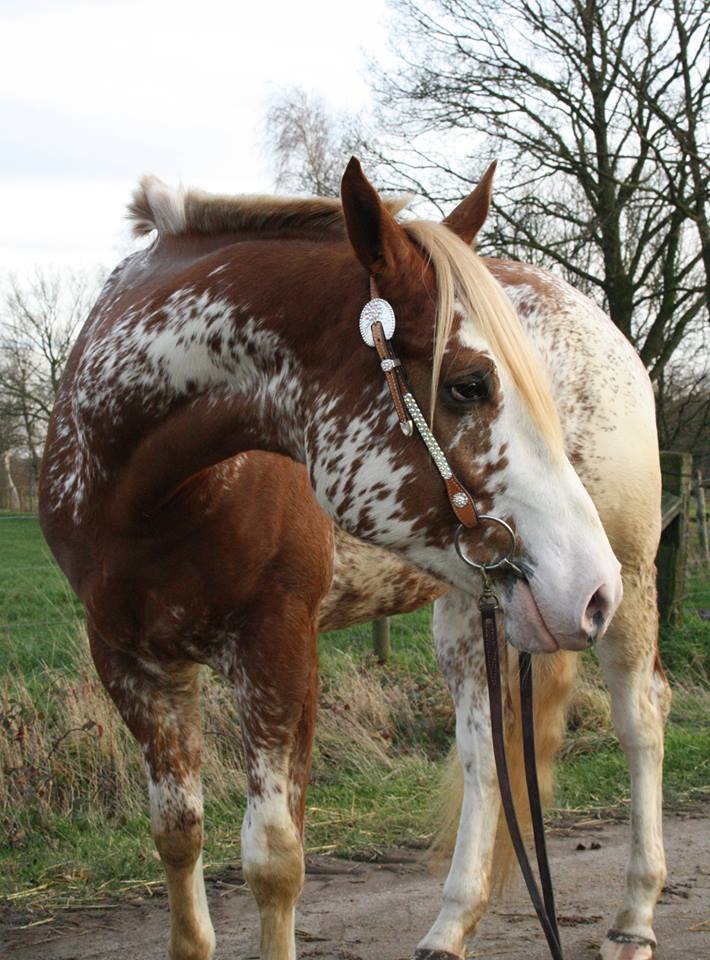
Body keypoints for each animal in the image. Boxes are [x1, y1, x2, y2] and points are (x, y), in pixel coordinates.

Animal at [38, 158, 668, 960]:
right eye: (470, 384)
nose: (588, 589)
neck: (147, 494)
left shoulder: (278, 649)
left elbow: (274, 860)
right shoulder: (133, 661)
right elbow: (177, 836)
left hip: (632, 578)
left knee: (641, 719)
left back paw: (634, 918)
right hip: (470, 612)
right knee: (484, 753)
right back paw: (450, 926)